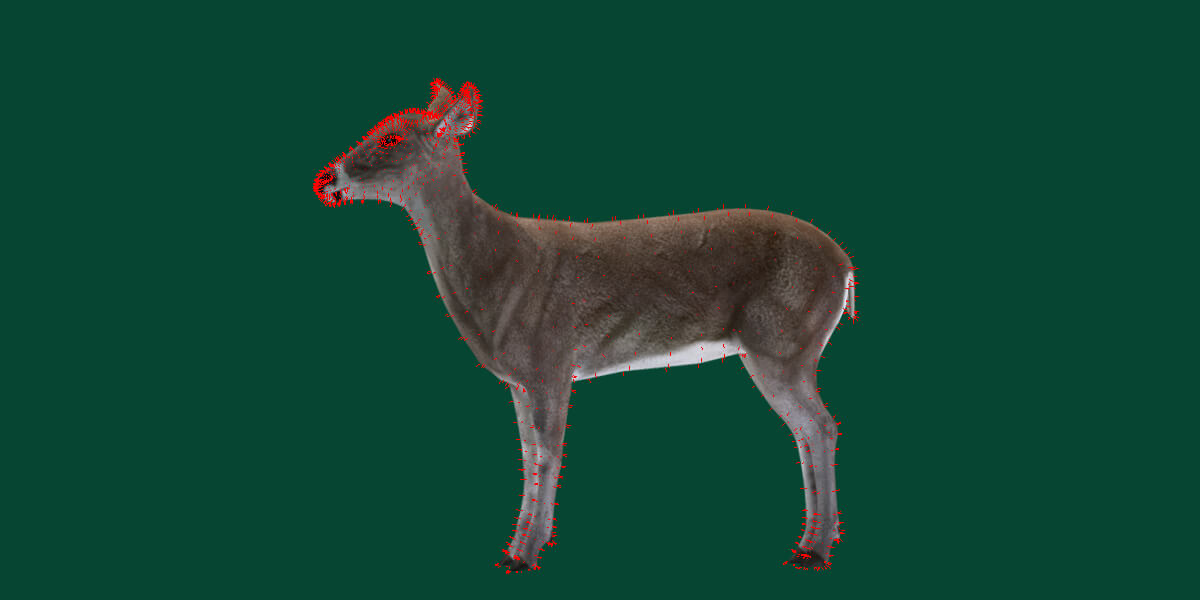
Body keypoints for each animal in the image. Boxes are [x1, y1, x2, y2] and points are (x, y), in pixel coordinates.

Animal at [313, 79, 857, 573]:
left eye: (390, 137)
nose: (326, 178)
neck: (495, 274)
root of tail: (846, 267)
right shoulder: (519, 377)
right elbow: (528, 451)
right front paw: (523, 544)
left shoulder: (550, 358)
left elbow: (547, 453)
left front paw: (523, 555)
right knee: (807, 429)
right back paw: (809, 542)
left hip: (784, 341)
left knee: (820, 425)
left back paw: (815, 549)